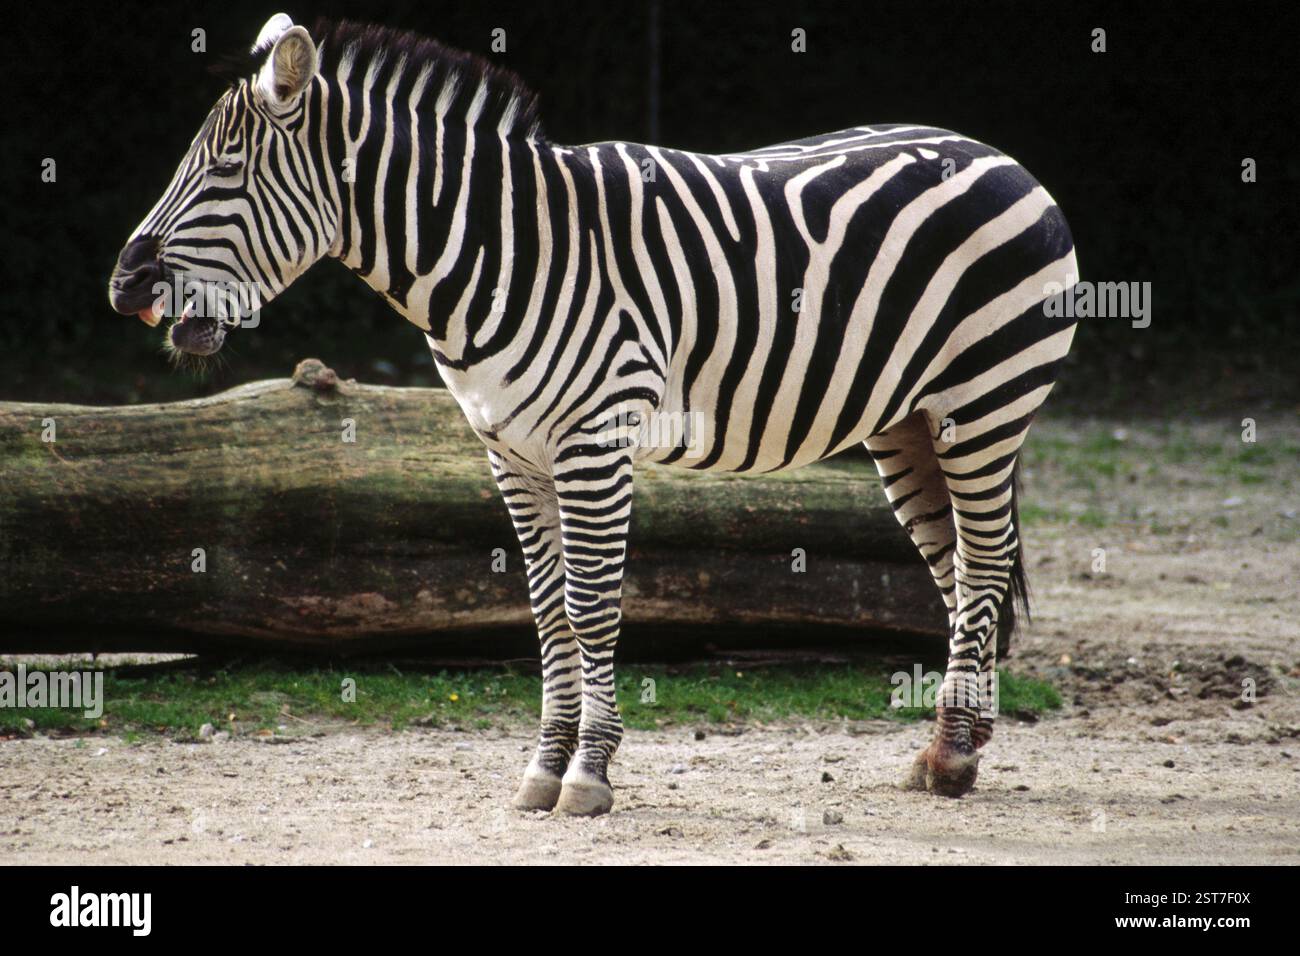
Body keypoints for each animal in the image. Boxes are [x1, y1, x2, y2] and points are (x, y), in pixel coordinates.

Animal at [108, 15, 1079, 814]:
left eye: (226, 169)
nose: (125, 288)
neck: (498, 251)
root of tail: (997, 154)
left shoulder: (593, 441)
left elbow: (590, 602)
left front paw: (588, 772)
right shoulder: (509, 450)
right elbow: (545, 608)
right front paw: (545, 765)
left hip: (982, 404)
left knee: (983, 562)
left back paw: (953, 759)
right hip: (904, 422)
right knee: (963, 571)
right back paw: (958, 746)